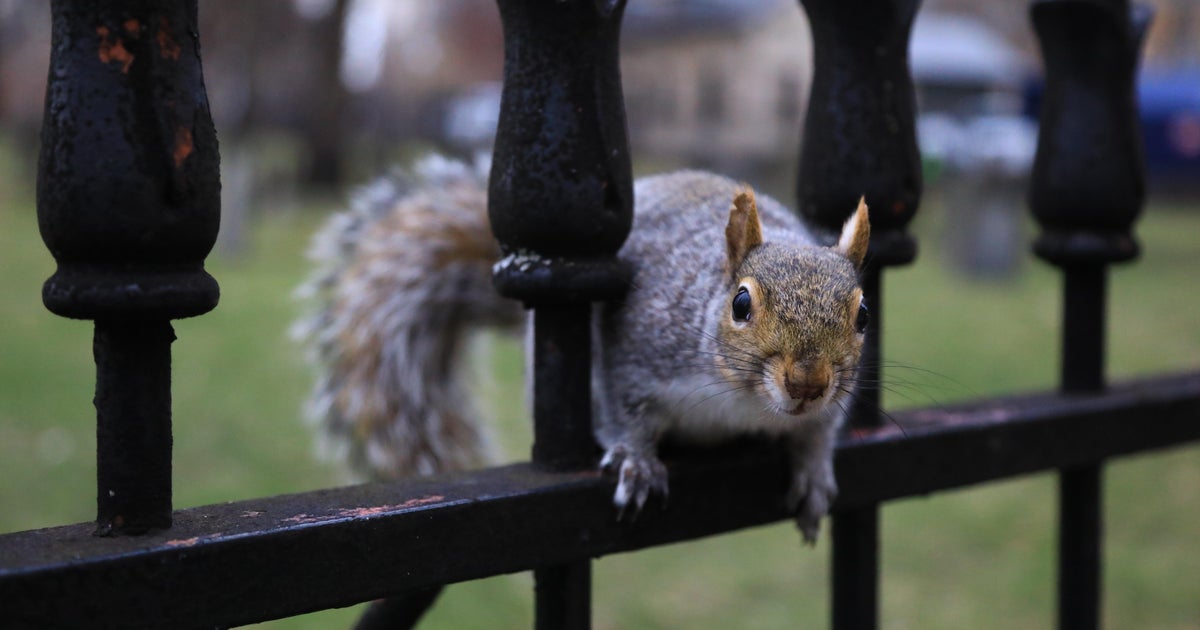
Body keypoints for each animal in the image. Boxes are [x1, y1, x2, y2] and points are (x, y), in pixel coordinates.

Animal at [295, 155, 870, 543]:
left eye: (863, 315)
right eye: (741, 304)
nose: (807, 383)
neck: (744, 401)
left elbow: (819, 431)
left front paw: (815, 473)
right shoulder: (636, 351)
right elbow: (628, 410)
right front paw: (636, 461)